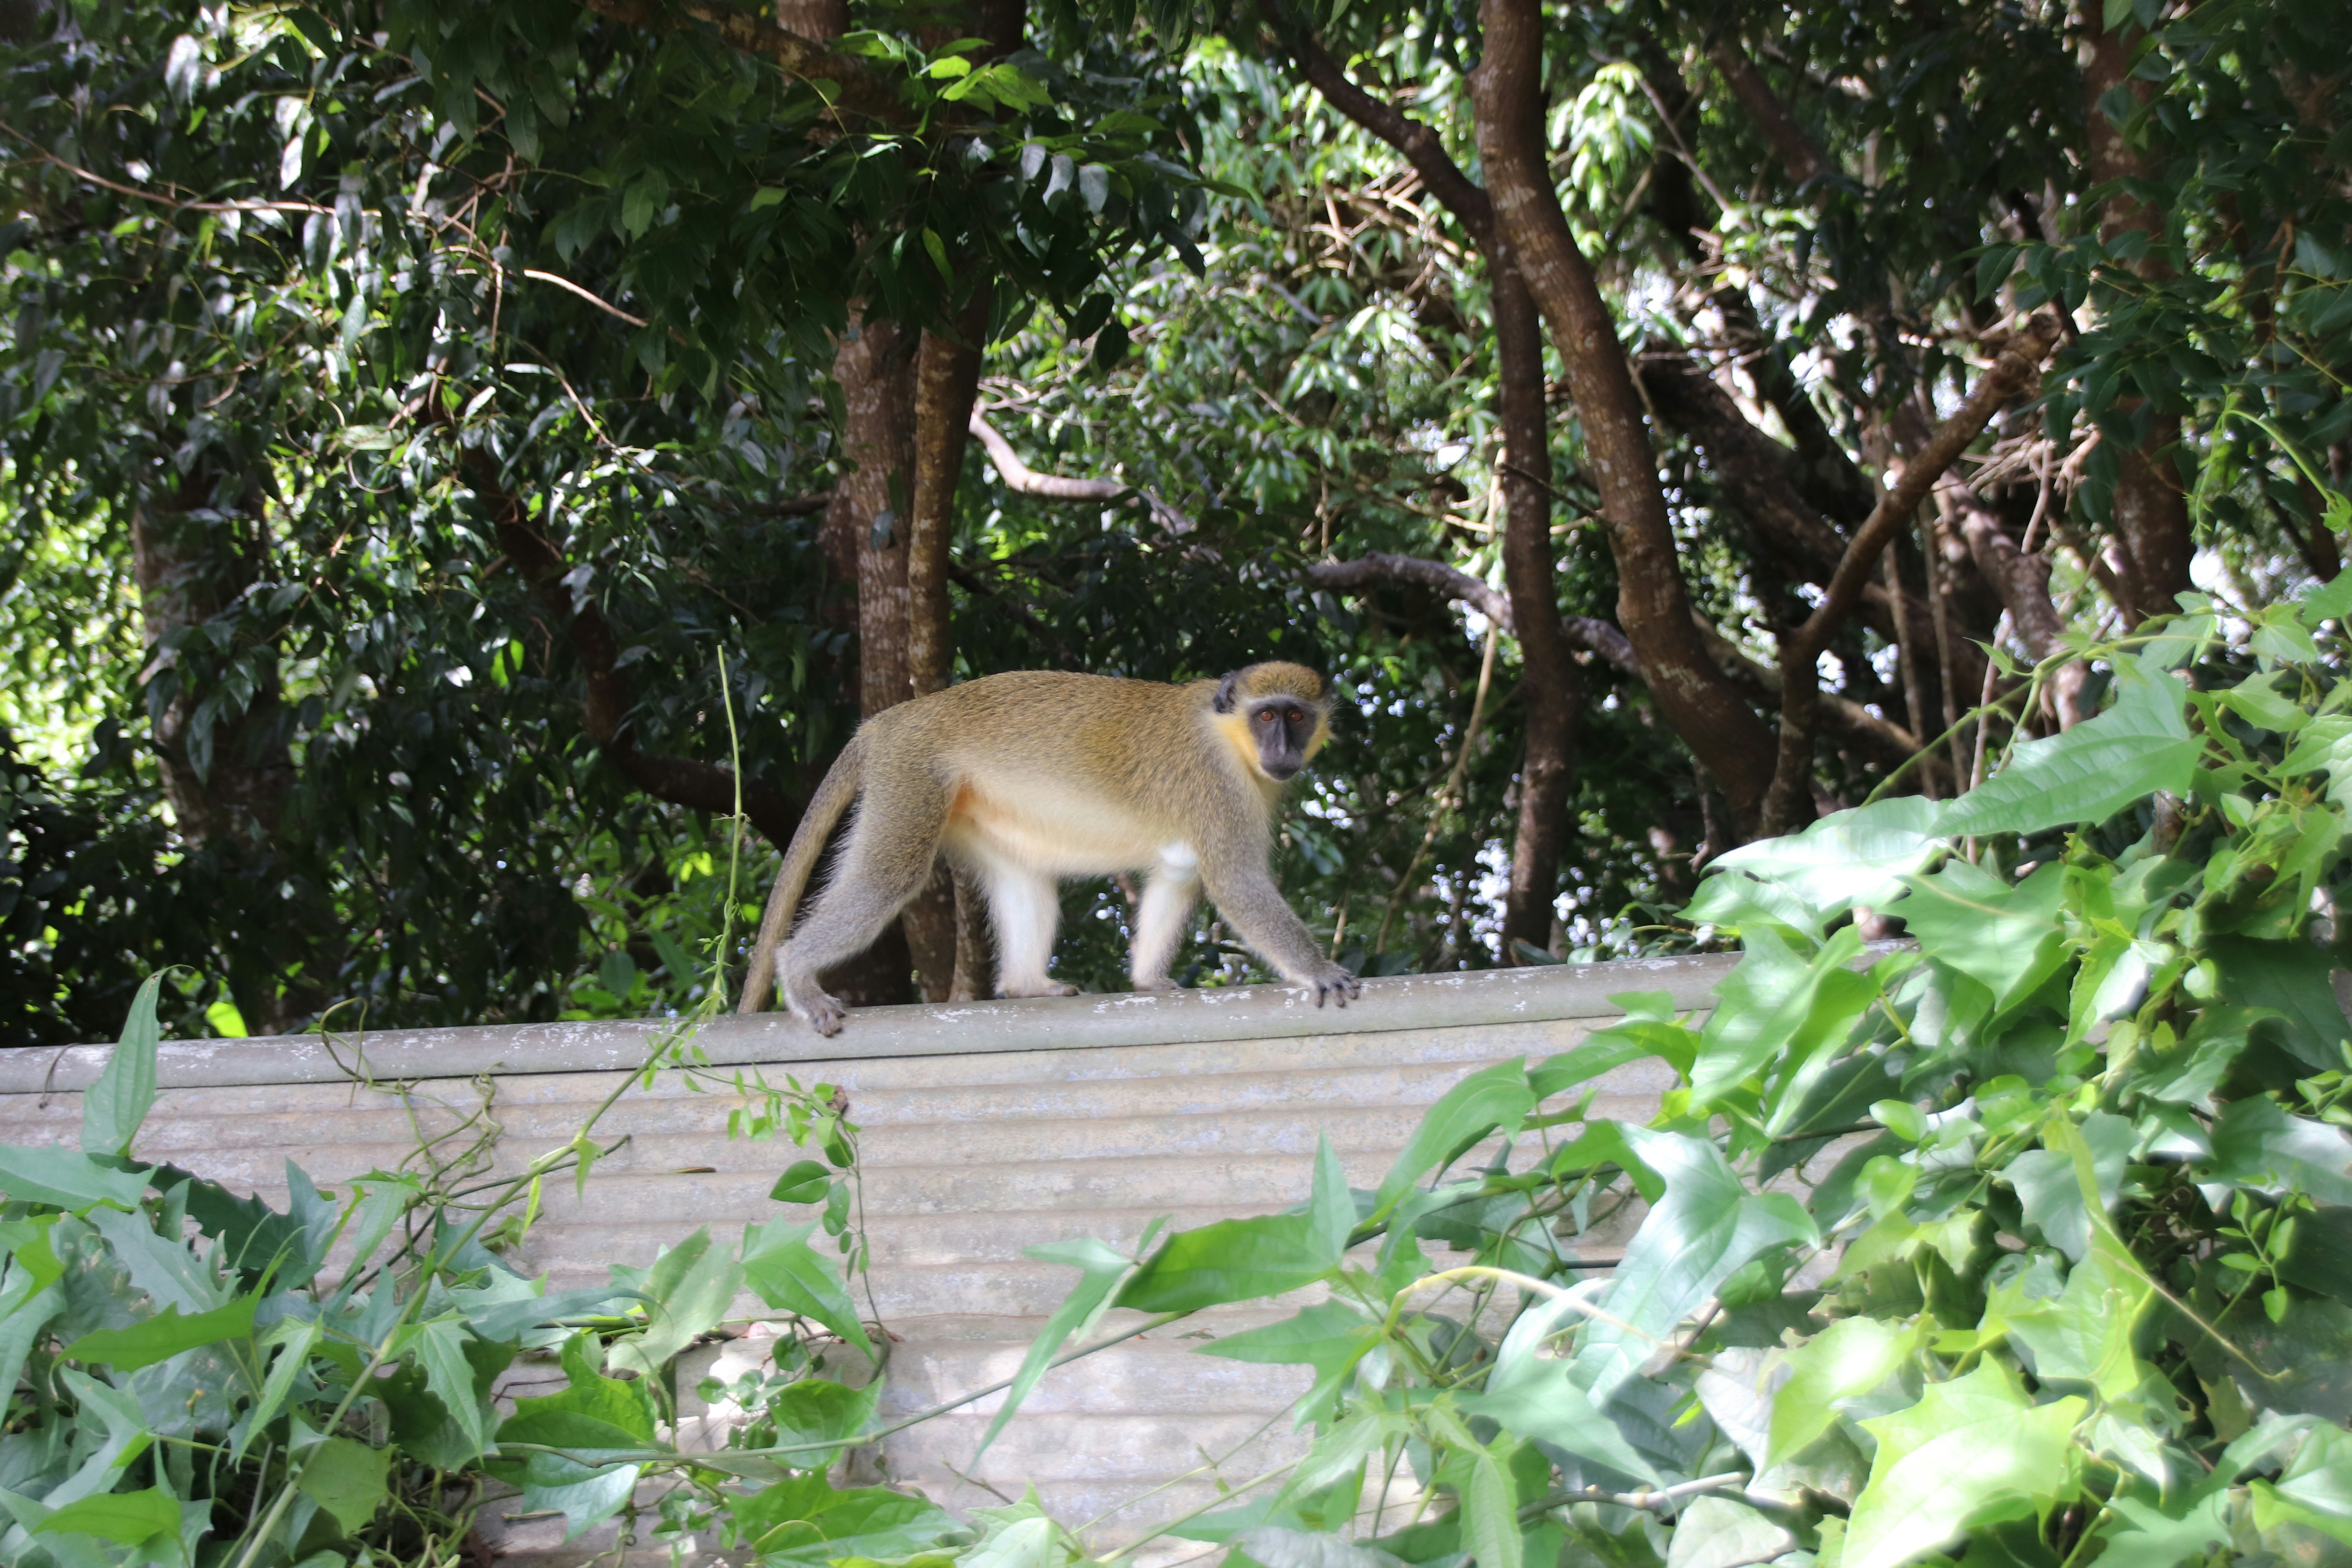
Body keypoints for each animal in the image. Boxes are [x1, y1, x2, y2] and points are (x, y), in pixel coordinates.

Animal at [737, 661, 1362, 1035]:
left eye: (1297, 716)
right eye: (1267, 715)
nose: (1282, 748)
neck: (1230, 737)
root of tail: (889, 722)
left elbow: (1180, 869)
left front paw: (1146, 980)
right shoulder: (1217, 786)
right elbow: (1235, 882)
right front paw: (1319, 971)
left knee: (1023, 877)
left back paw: (1026, 984)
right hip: (911, 776)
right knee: (887, 876)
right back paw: (797, 972)